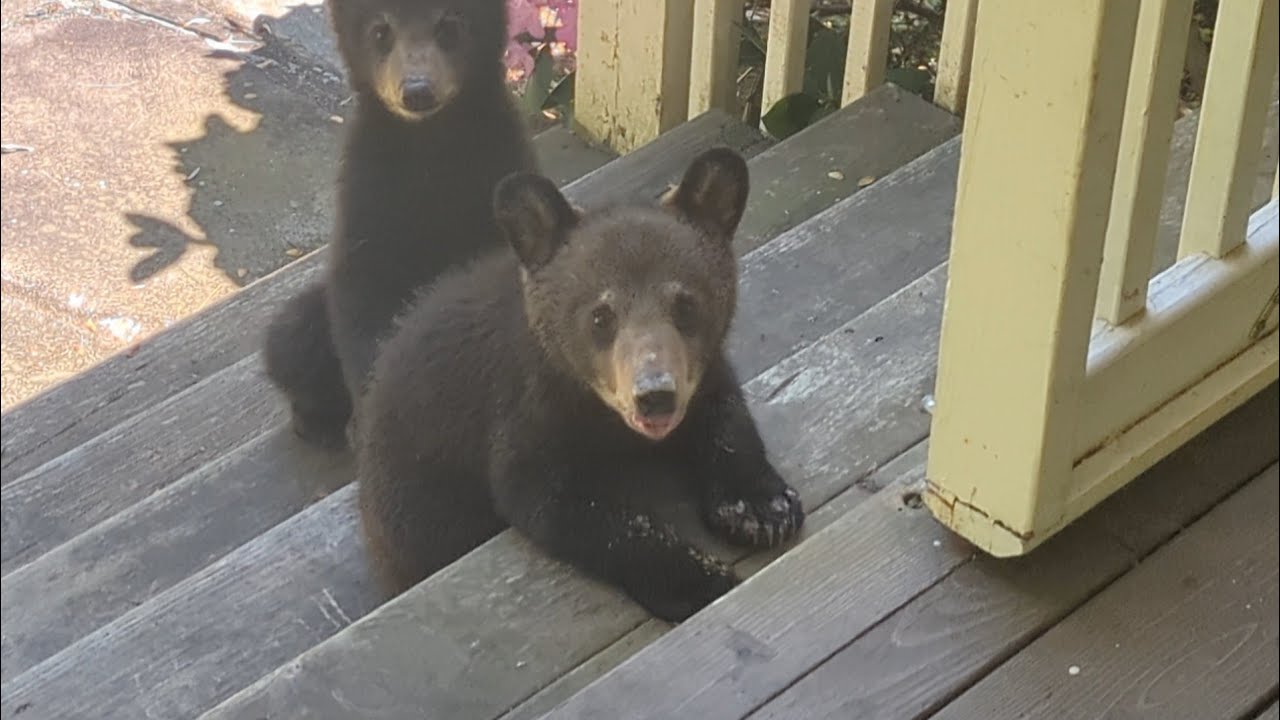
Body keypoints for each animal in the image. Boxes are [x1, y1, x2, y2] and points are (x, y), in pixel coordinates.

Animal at [263, 0, 538, 449]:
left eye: (449, 27)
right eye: (380, 32)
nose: (417, 90)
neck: (430, 147)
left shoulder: (500, 167)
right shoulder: (366, 197)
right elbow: (362, 301)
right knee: (289, 338)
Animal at [356, 148, 805, 622]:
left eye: (686, 305)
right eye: (600, 316)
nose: (655, 396)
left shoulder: (708, 378)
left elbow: (726, 418)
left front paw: (762, 506)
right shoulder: (525, 417)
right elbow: (574, 511)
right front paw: (697, 578)